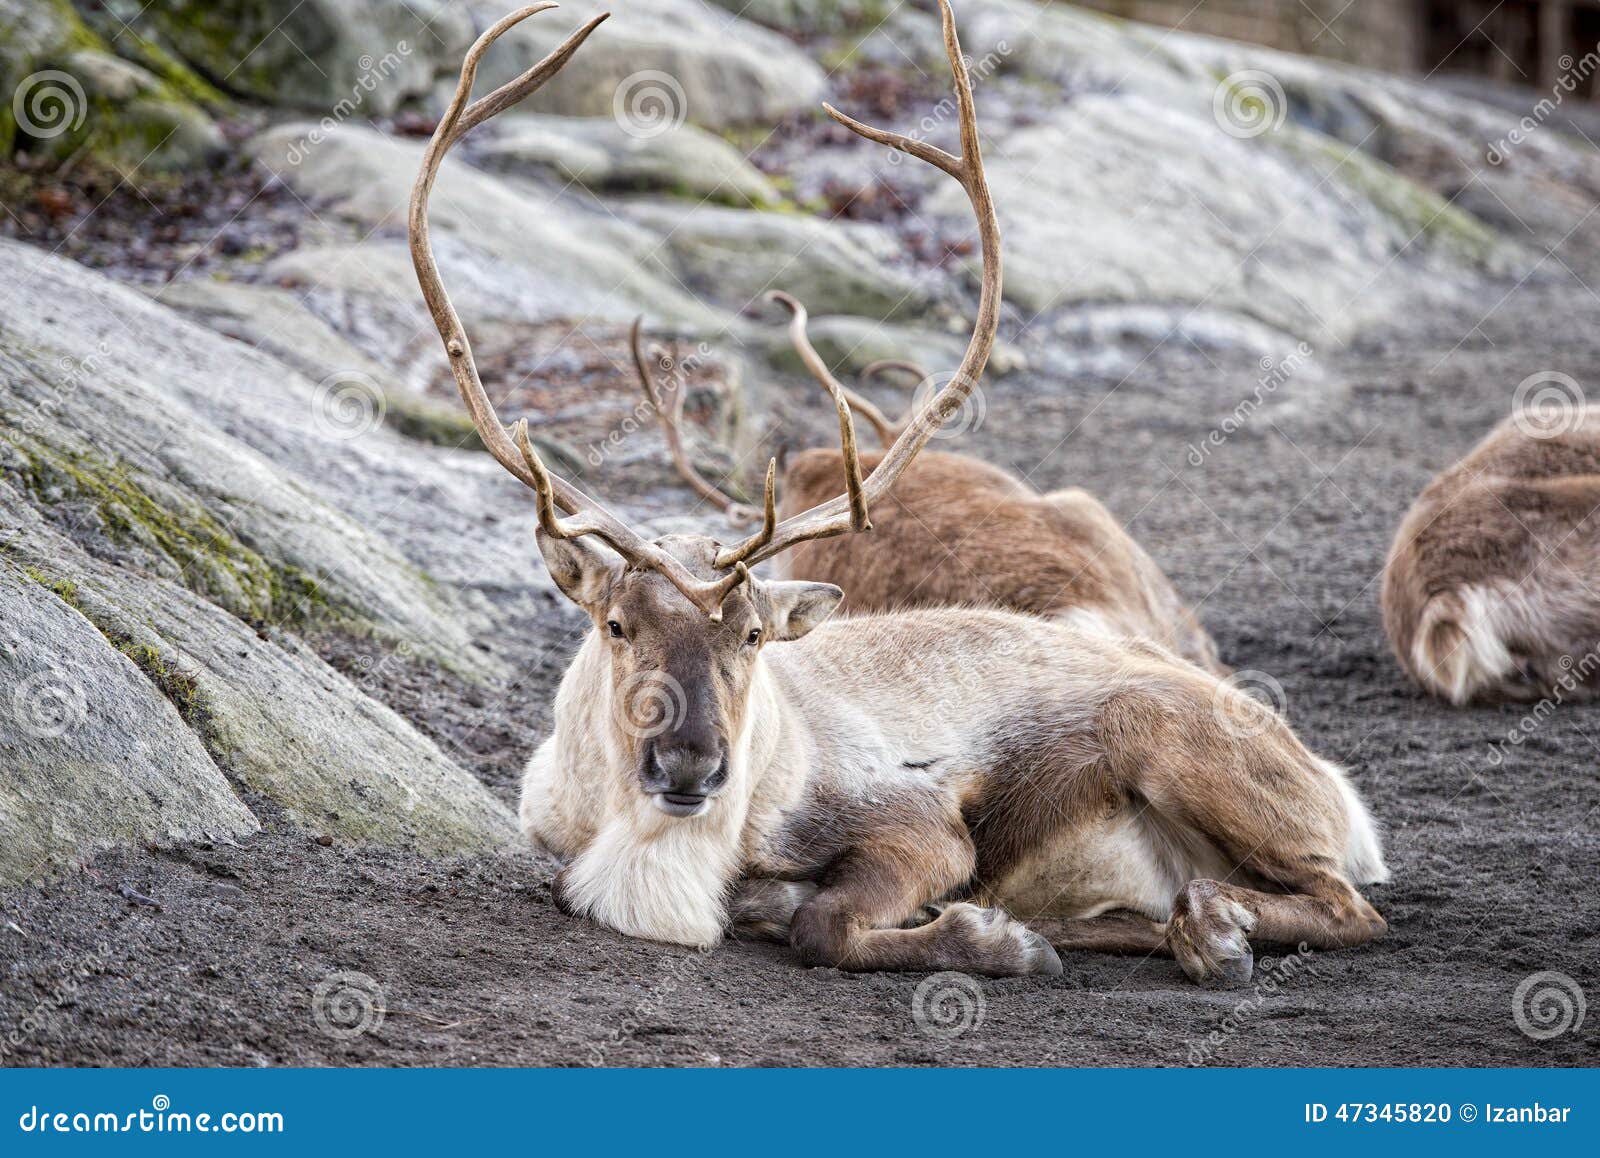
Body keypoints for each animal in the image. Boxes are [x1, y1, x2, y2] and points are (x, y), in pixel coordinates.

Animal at [412, 2, 1388, 985]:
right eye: (616, 625)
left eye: (754, 635)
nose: (689, 767)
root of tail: (1346, 798)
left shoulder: (922, 823)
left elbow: (825, 922)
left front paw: (987, 938)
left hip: (1176, 740)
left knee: (1347, 906)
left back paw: (1211, 930)